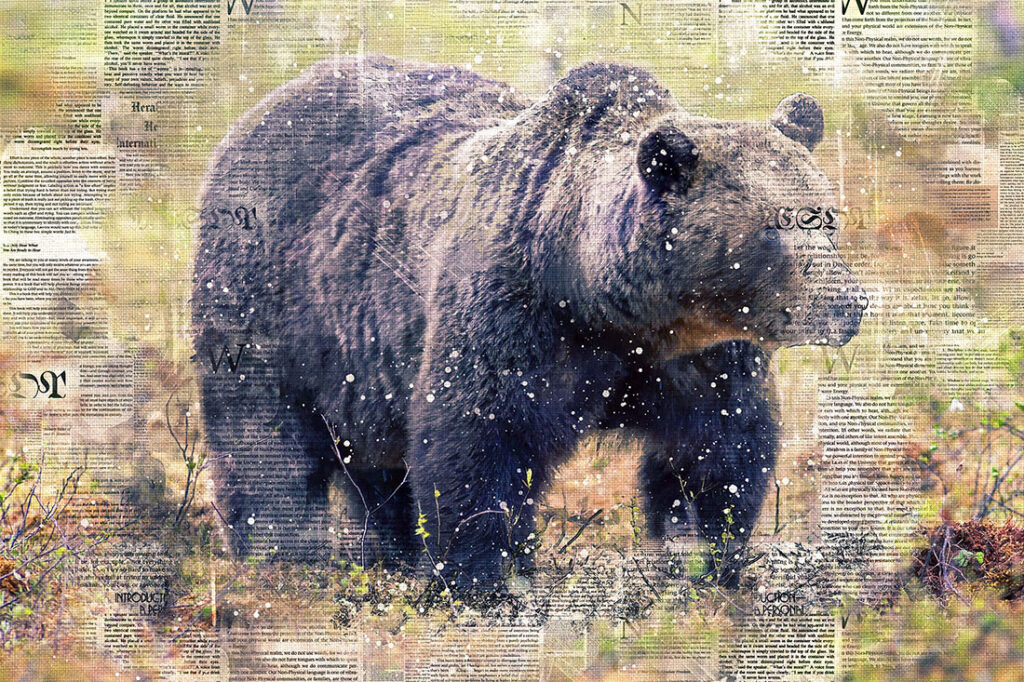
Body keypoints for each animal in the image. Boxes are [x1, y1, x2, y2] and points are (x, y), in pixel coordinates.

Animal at [192, 55, 866, 591]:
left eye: (825, 216)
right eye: (775, 229)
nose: (849, 304)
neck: (606, 305)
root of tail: (258, 111)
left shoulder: (698, 355)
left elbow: (719, 444)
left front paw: (706, 553)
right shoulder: (515, 314)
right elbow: (479, 439)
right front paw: (481, 574)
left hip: (362, 373)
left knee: (377, 472)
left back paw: (390, 552)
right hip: (268, 303)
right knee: (267, 443)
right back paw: (282, 555)